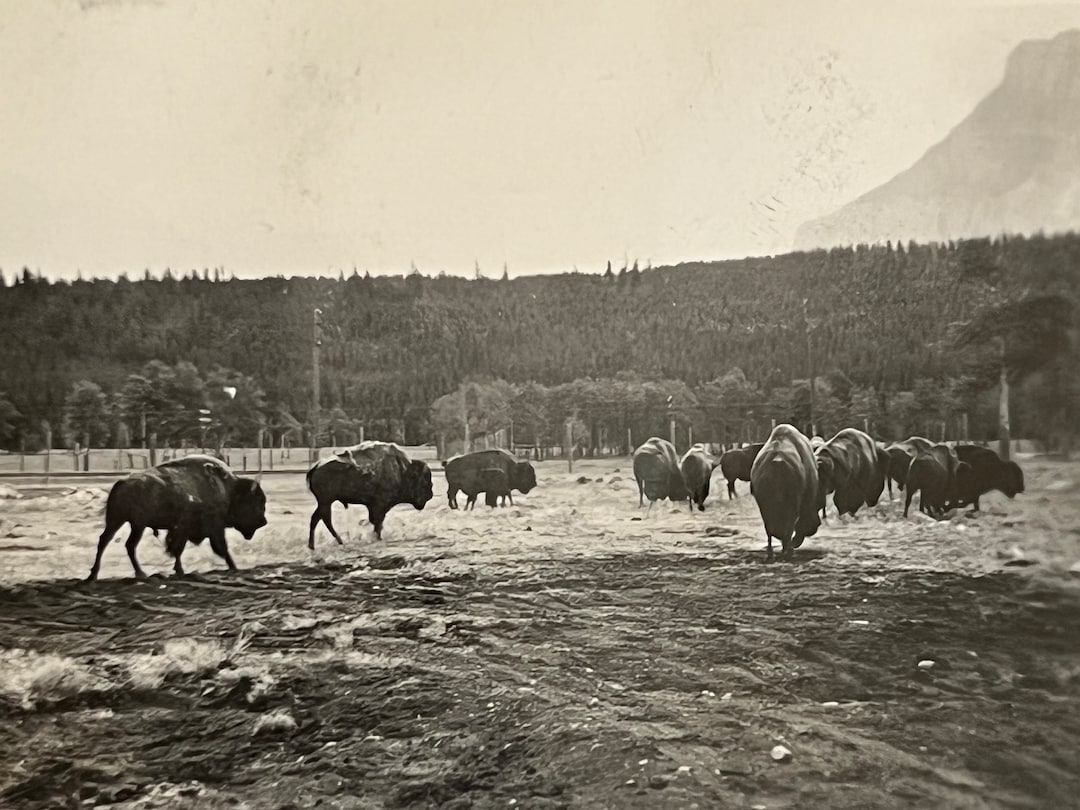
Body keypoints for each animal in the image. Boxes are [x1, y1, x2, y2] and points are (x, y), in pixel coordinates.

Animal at [87, 454, 268, 581]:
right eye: (256, 501)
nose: (263, 521)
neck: (229, 489)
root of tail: (122, 483)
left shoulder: (183, 530)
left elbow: (178, 549)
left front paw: (178, 570)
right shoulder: (211, 527)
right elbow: (220, 549)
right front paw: (234, 567)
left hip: (118, 521)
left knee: (105, 541)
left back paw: (93, 575)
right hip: (137, 524)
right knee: (128, 544)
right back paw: (140, 573)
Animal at [749, 424, 822, 561]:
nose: (816, 524)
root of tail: (777, 462)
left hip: (767, 507)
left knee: (771, 531)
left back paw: (772, 552)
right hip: (792, 507)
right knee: (787, 530)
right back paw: (787, 551)